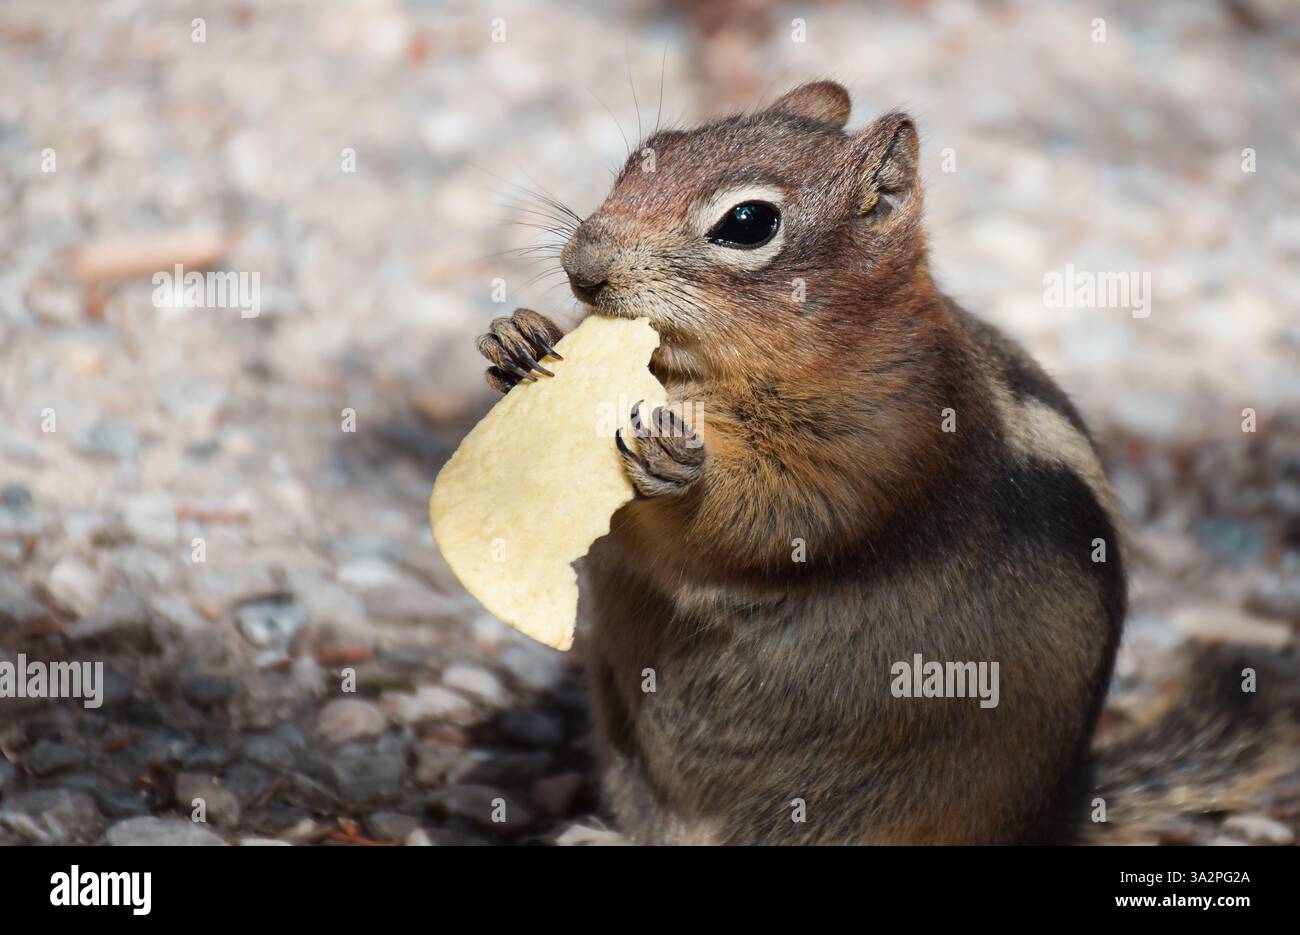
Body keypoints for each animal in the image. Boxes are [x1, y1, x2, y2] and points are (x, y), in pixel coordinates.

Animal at [474, 82, 1297, 844]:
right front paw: (518, 338)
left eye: (748, 223)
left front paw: (685, 469)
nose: (583, 266)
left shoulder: (891, 433)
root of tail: (1061, 809)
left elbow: (782, 517)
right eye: (645, 154)